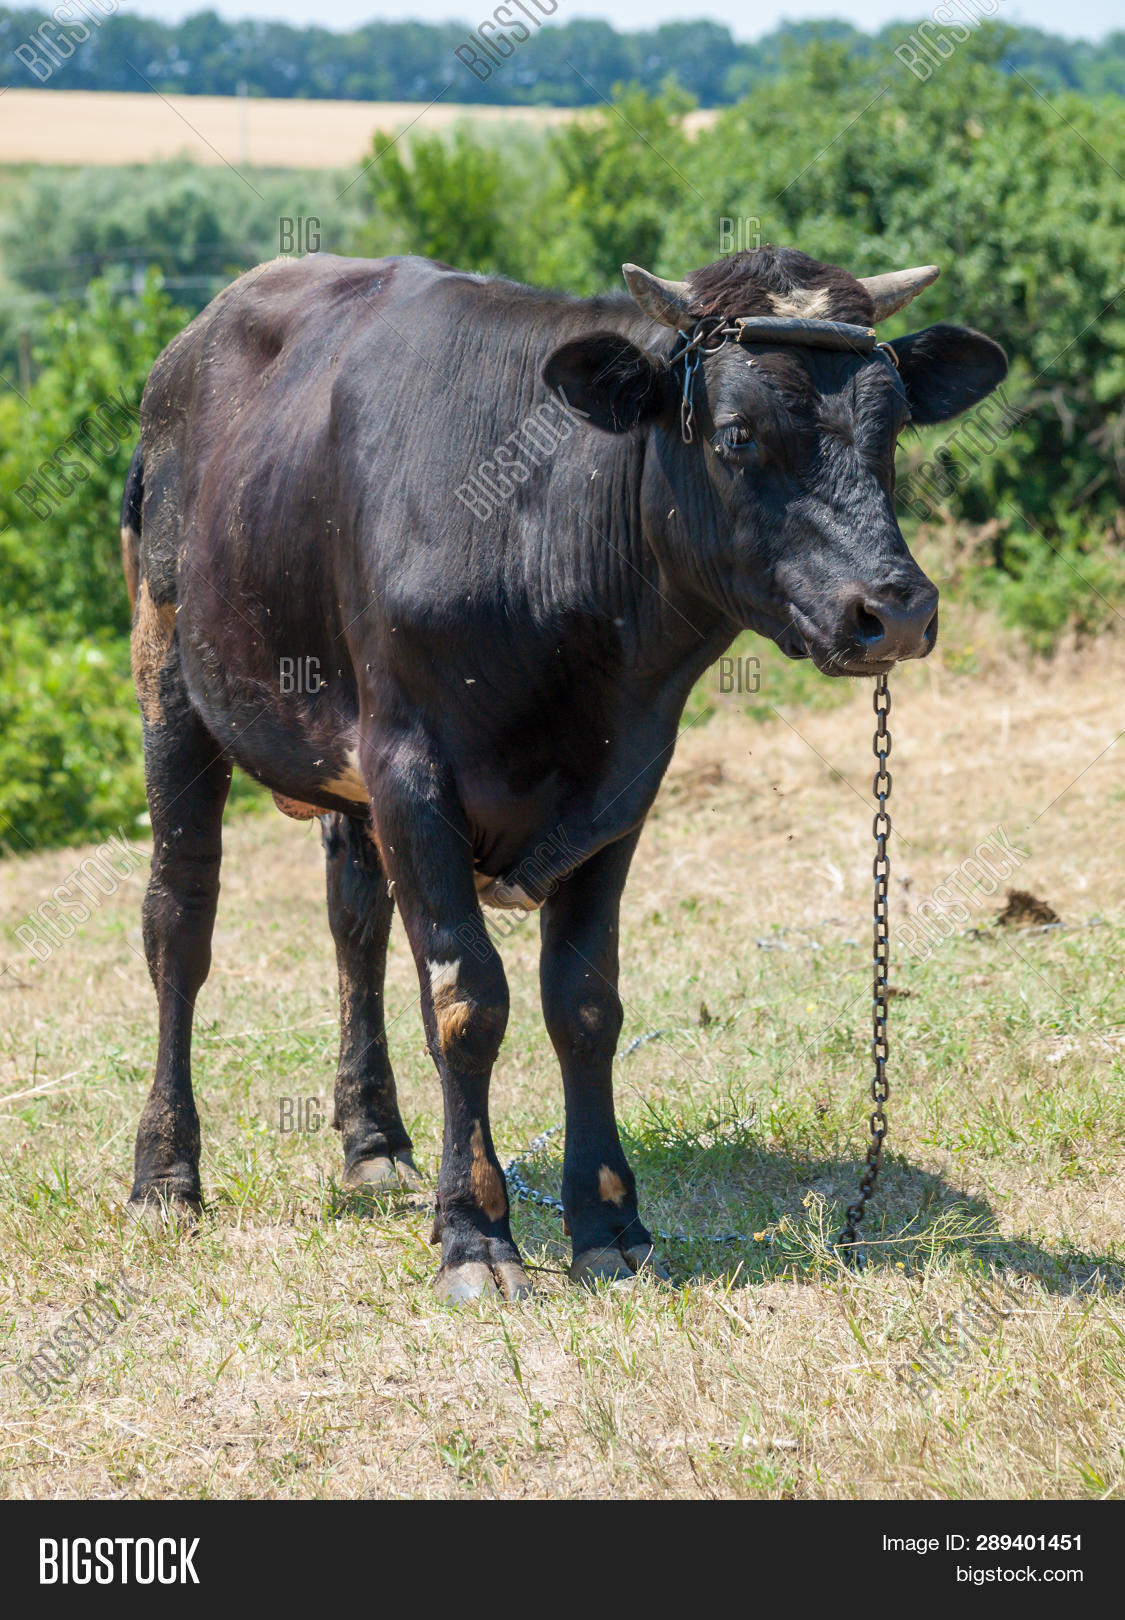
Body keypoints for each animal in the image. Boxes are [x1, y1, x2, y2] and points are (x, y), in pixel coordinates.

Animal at [121, 244, 1006, 1301]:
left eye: (892, 426)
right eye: (738, 434)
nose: (895, 610)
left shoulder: (620, 785)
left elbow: (582, 1004)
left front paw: (607, 1223)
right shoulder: (408, 765)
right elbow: (467, 998)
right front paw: (474, 1236)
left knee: (355, 923)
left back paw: (374, 1142)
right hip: (169, 680)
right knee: (179, 924)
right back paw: (165, 1176)